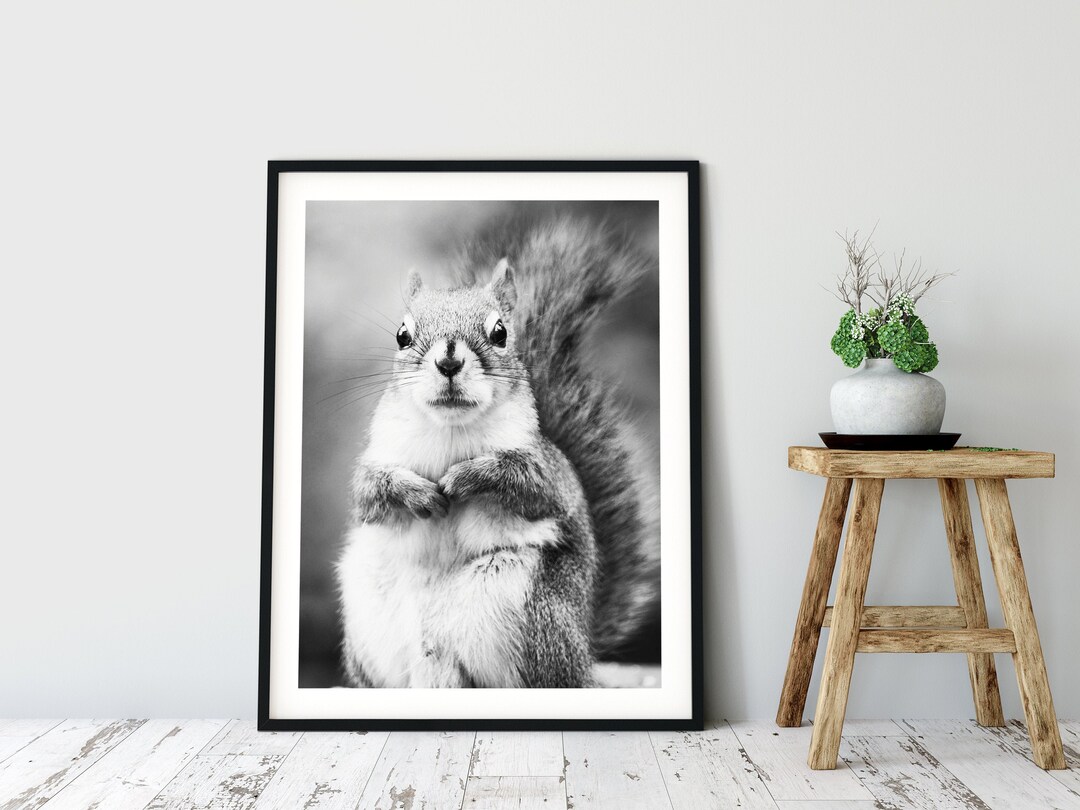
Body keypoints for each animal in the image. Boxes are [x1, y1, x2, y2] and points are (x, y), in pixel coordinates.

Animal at [336, 216, 659, 688]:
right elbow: (369, 491)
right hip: (367, 607)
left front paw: (465, 478)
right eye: (402, 335)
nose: (448, 362)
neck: (450, 430)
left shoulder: (544, 471)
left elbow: (523, 482)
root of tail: (582, 653)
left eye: (500, 333)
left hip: (522, 602)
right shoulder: (378, 458)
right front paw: (418, 493)